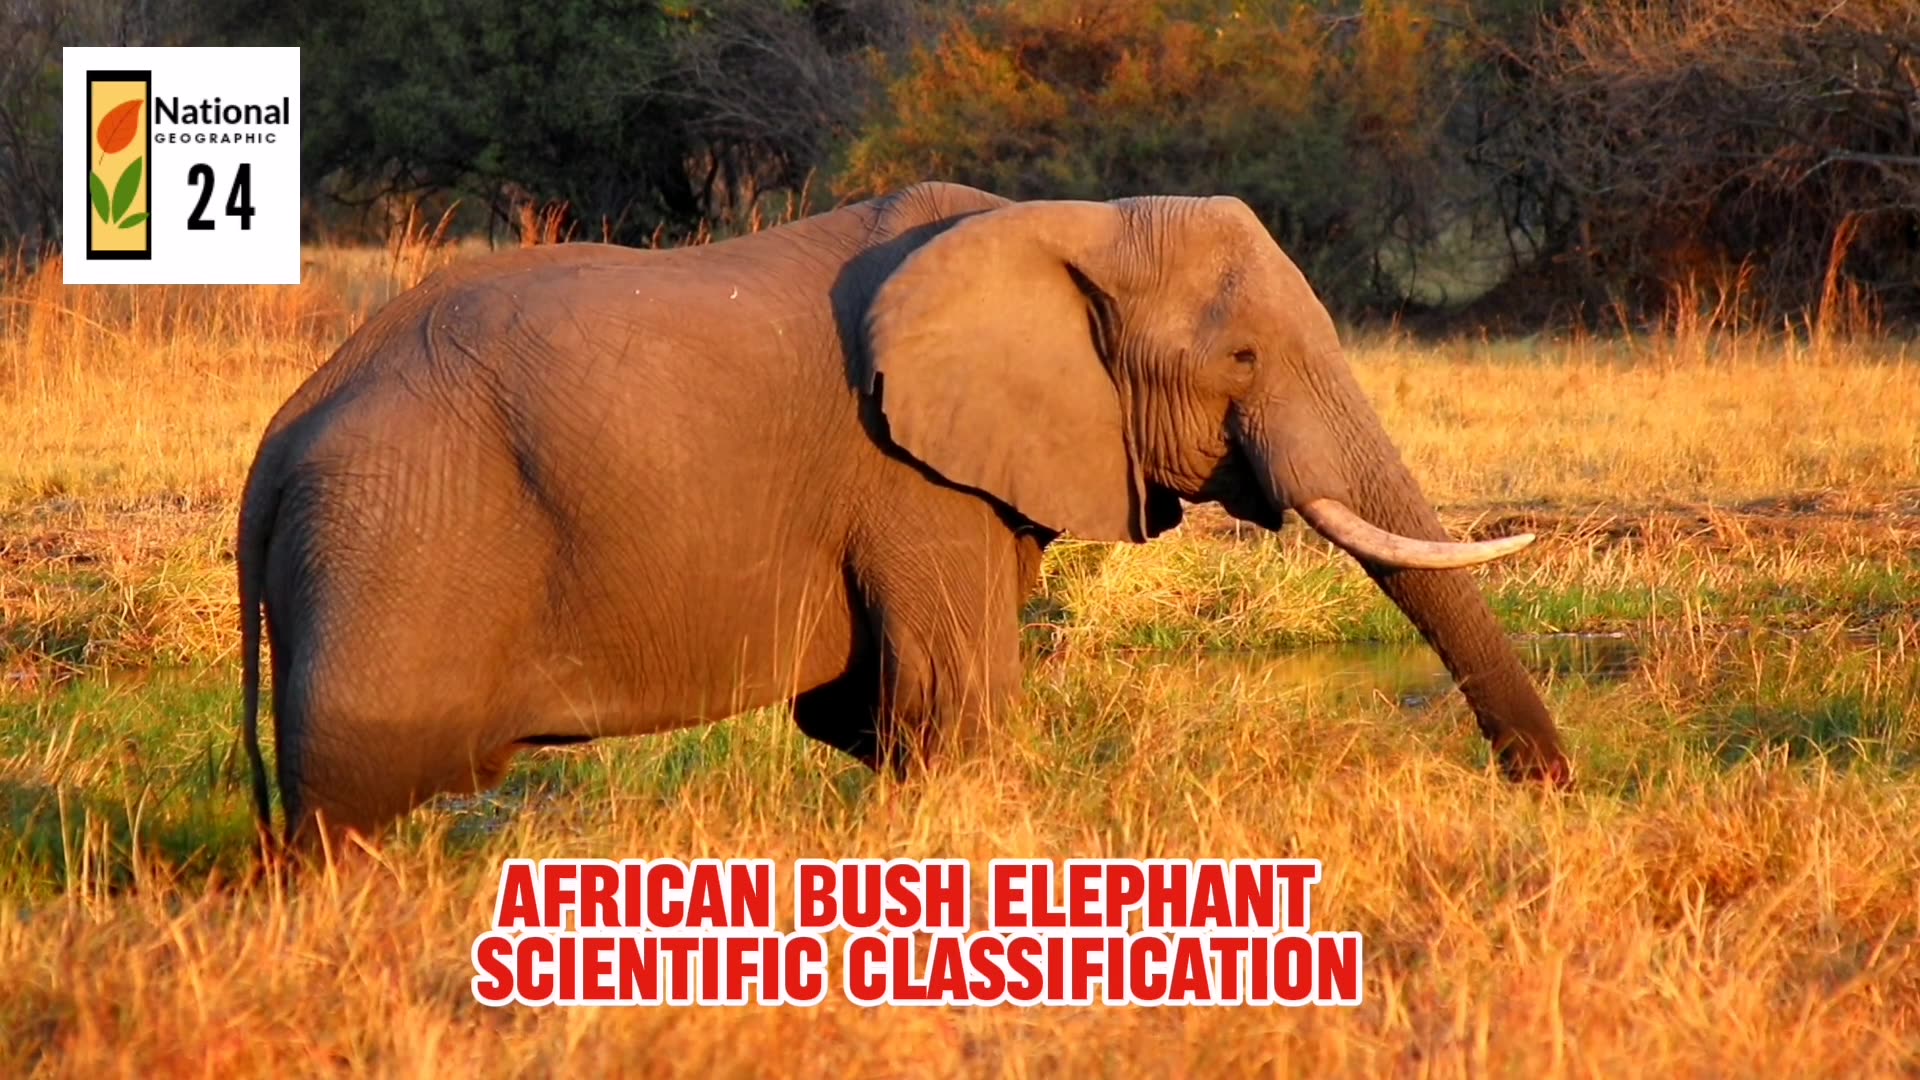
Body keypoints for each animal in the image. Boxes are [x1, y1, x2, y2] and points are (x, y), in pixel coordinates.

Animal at [236, 181, 1571, 851]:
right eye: (1241, 357)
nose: (1550, 791)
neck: (1067, 220)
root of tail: (279, 443)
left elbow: (869, 715)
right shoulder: (911, 482)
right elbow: (955, 705)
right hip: (393, 548)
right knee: (350, 806)